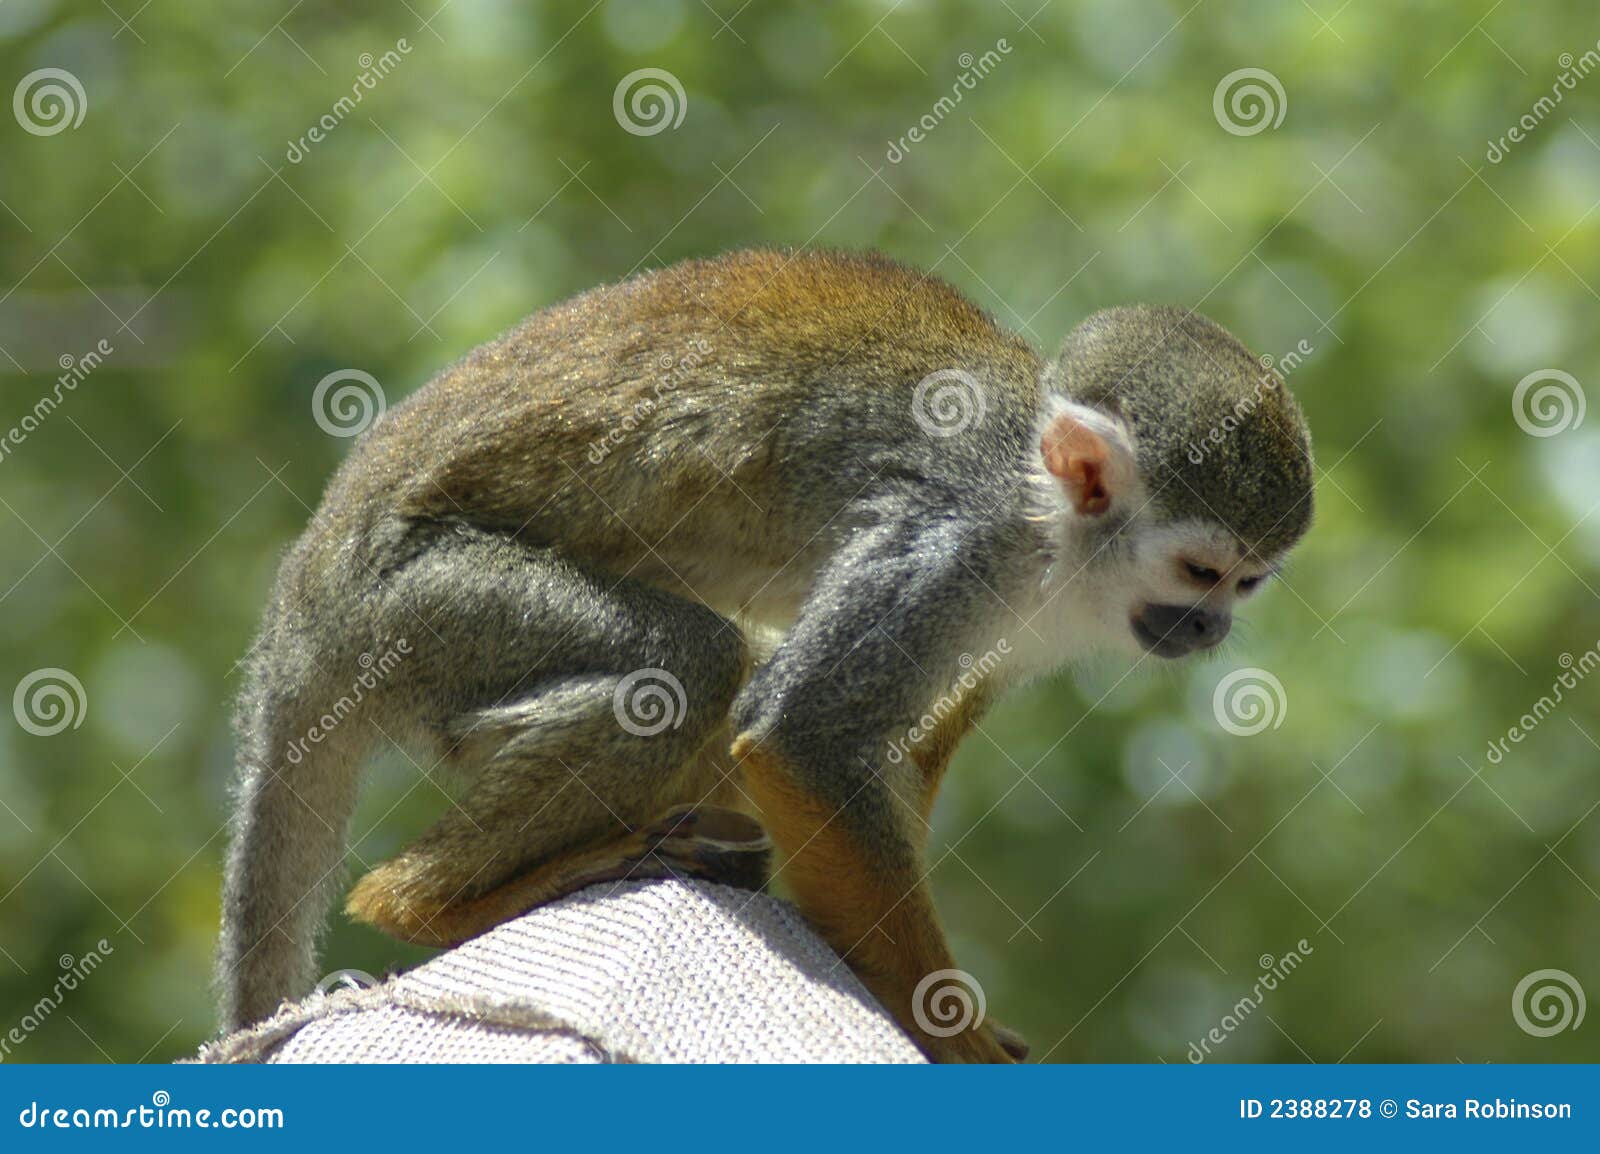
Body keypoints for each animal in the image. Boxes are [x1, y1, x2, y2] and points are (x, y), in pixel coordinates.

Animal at [217, 247, 1313, 1062]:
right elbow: (800, 733)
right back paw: (432, 900)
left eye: (1249, 583)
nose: (1211, 630)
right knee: (689, 660)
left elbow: (887, 746)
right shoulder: (957, 539)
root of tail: (295, 609)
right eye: (1202, 571)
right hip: (408, 609)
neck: (1049, 529)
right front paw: (945, 1027)